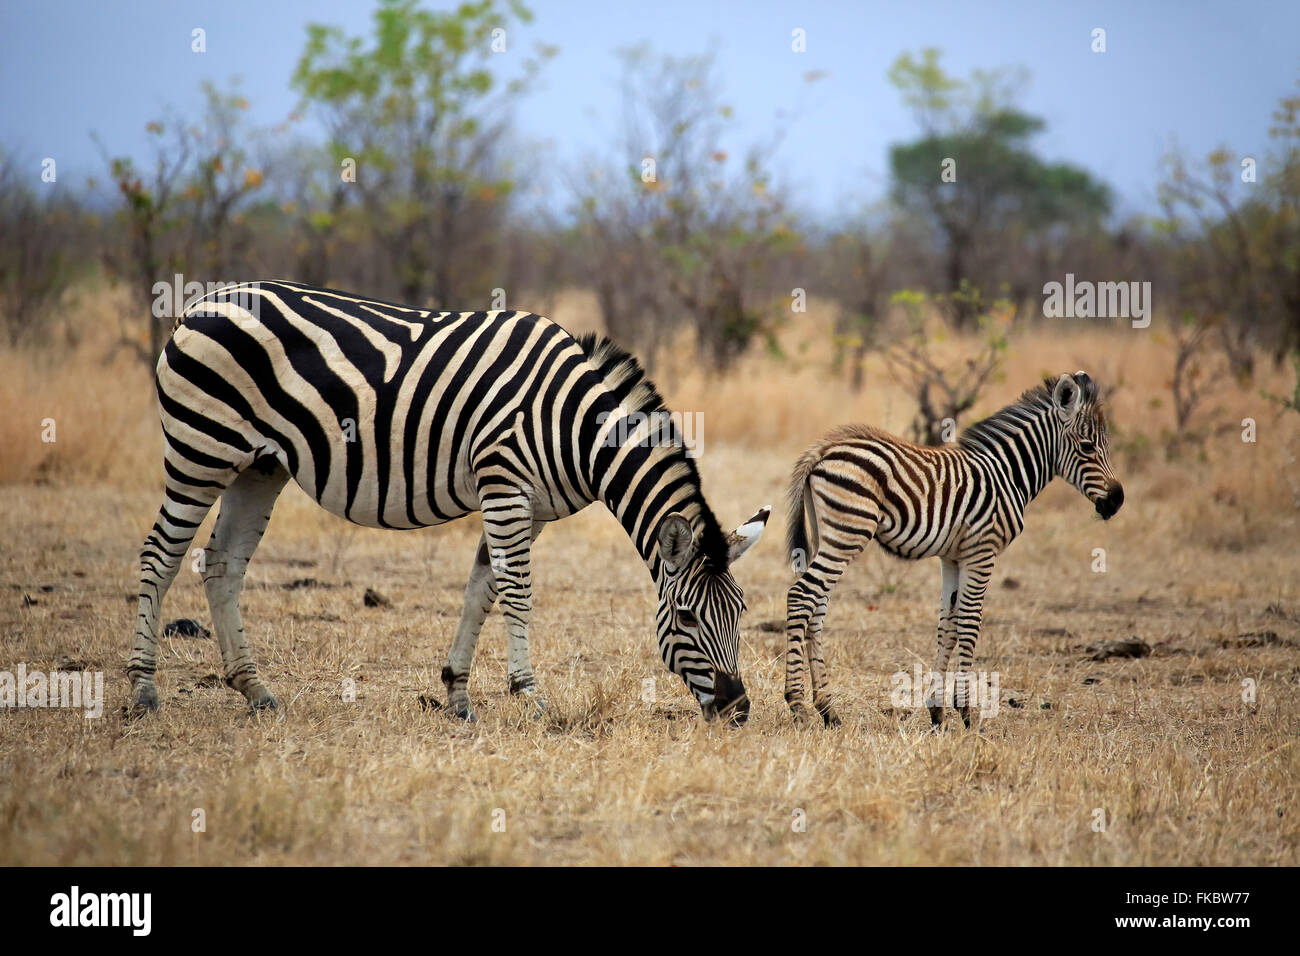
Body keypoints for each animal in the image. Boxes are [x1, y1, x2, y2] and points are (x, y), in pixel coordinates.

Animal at [127, 280, 770, 724]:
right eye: (686, 618)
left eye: (740, 615)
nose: (737, 710)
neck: (574, 426)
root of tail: (200, 303)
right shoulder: (504, 485)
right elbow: (516, 592)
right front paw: (530, 698)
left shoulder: (528, 506)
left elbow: (481, 591)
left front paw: (458, 694)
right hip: (200, 448)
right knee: (160, 555)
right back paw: (143, 690)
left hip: (258, 467)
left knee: (222, 565)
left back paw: (255, 690)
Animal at [783, 371, 1123, 728]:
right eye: (1087, 447)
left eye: (1105, 446)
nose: (1117, 500)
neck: (1008, 475)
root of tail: (823, 449)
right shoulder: (982, 552)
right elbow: (969, 623)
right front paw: (967, 712)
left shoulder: (952, 557)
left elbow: (947, 624)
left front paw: (937, 709)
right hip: (849, 531)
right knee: (801, 595)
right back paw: (798, 705)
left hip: (829, 534)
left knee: (817, 607)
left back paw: (828, 709)